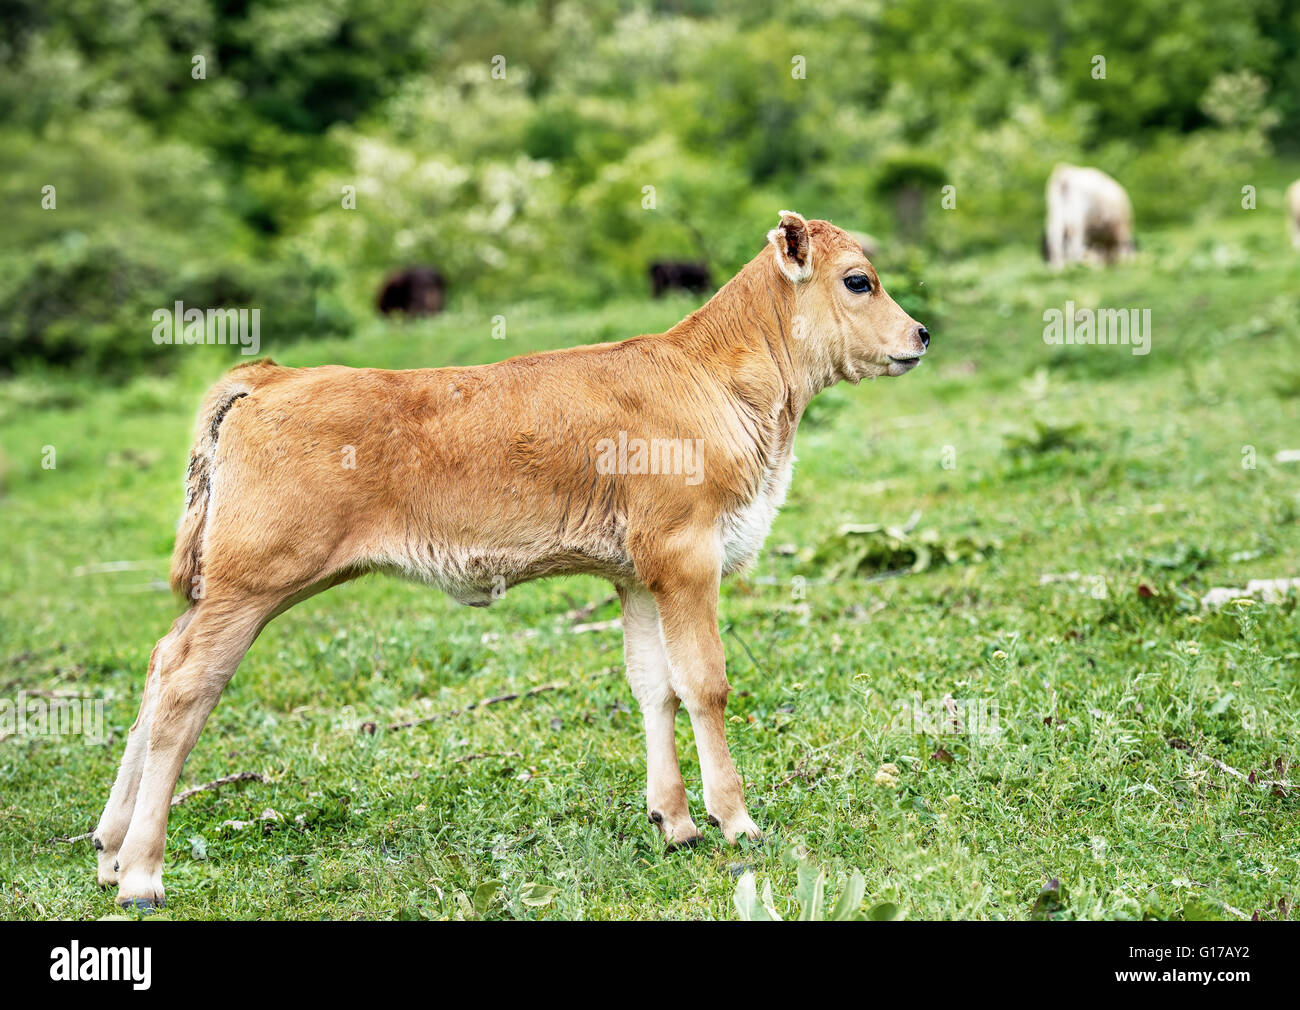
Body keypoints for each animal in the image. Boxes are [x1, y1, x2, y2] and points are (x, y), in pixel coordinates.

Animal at [94, 210, 925, 904]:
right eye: (859, 279)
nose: (919, 334)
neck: (726, 384)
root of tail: (269, 374)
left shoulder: (636, 574)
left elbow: (653, 686)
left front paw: (676, 823)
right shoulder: (687, 556)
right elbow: (705, 684)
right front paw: (737, 821)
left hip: (224, 588)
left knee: (160, 663)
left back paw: (108, 850)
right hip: (252, 582)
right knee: (186, 687)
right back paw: (141, 874)